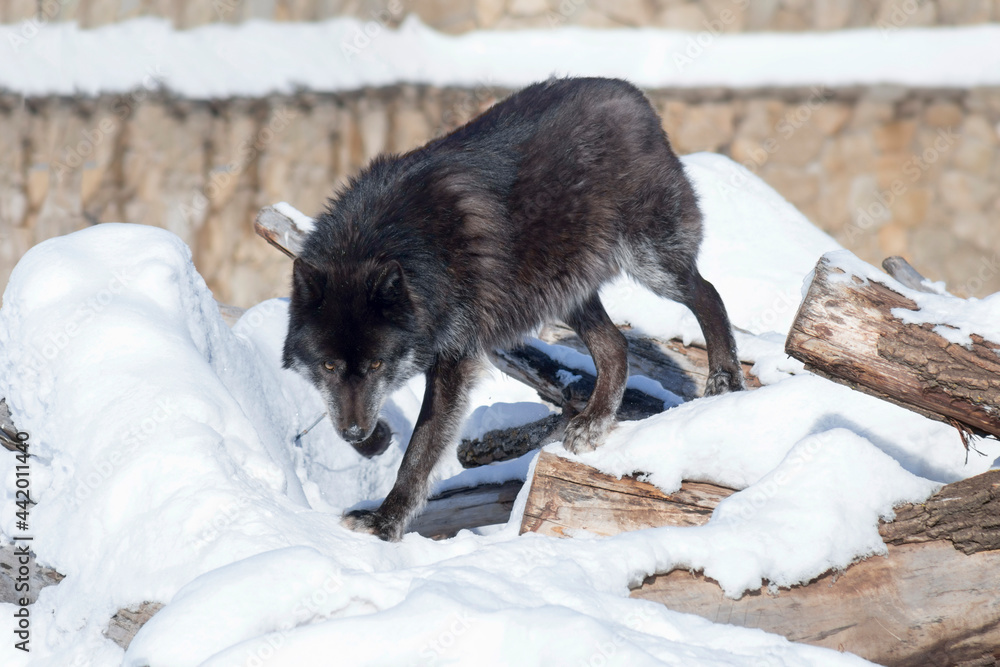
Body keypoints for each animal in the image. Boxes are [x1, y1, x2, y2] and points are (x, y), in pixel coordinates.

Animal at [283, 77, 744, 541]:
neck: (399, 247)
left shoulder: (454, 359)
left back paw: (724, 378)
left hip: (649, 261)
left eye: (377, 365)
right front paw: (374, 444)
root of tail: (632, 93)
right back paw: (594, 421)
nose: (354, 431)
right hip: (567, 289)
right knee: (616, 346)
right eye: (328, 366)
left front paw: (385, 523)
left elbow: (419, 451)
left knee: (709, 294)